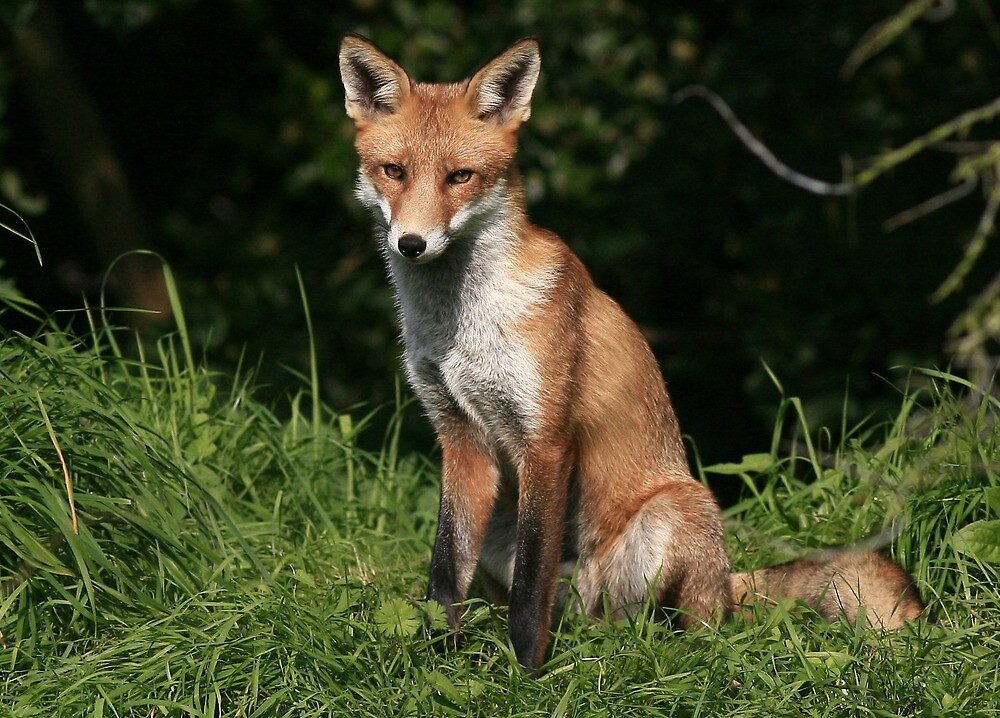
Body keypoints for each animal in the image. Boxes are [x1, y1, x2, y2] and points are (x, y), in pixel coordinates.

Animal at [338, 34, 923, 673]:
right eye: (394, 171)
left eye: (460, 176)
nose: (411, 243)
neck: (461, 329)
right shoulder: (460, 437)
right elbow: (444, 574)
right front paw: (435, 663)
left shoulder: (546, 440)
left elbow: (530, 587)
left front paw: (527, 674)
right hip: (507, 530)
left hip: (674, 514)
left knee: (685, 630)